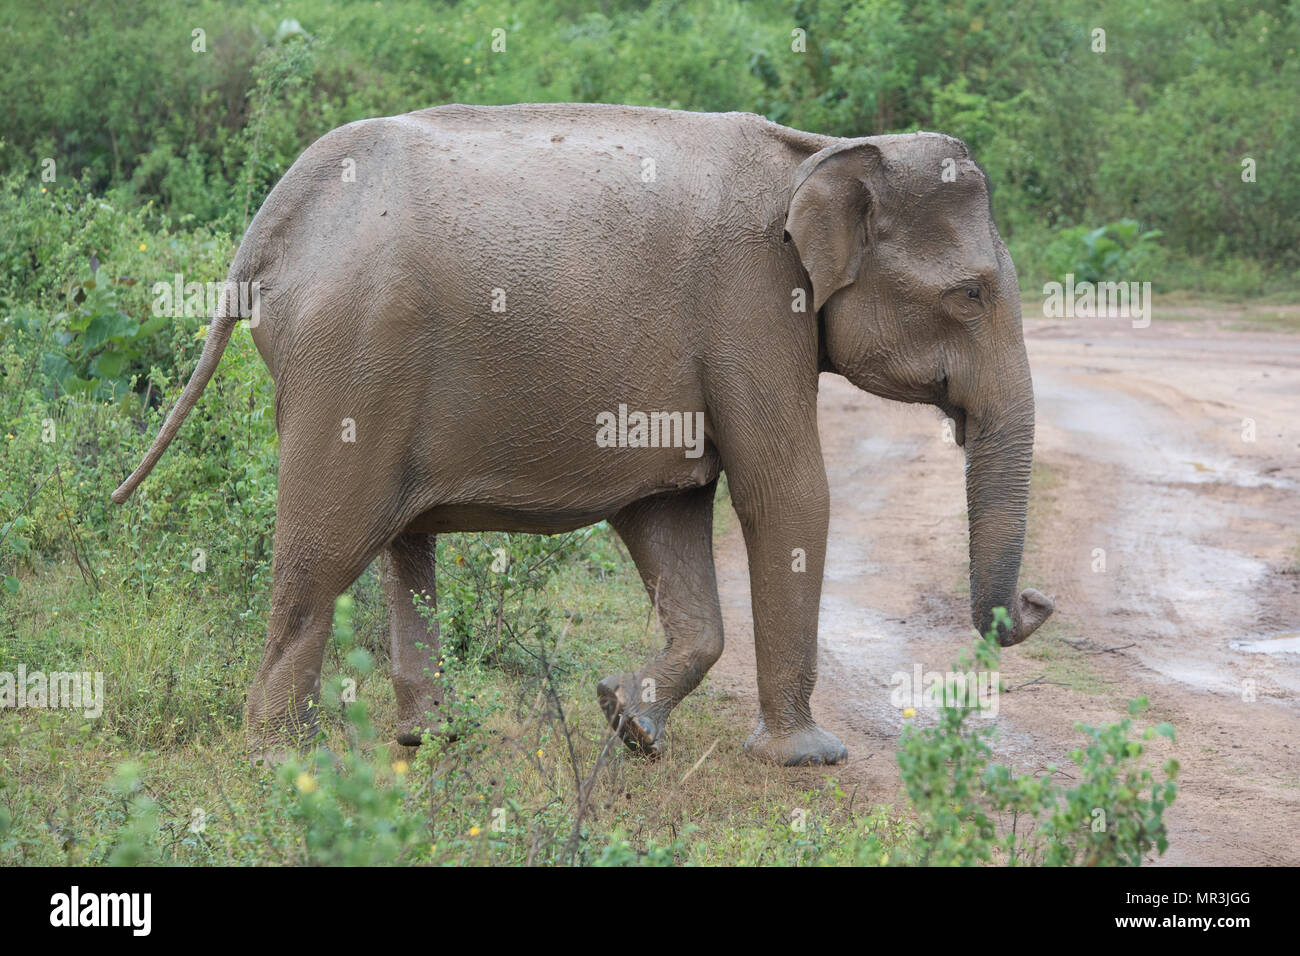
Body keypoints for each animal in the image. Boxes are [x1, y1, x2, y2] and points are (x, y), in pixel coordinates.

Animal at [112, 103, 1053, 766]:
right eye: (971, 295)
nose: (1039, 602)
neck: (822, 148)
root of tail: (272, 224)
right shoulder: (751, 305)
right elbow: (785, 493)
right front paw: (809, 759)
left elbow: (670, 508)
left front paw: (627, 722)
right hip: (351, 360)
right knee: (326, 551)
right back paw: (287, 758)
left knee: (400, 543)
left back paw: (431, 740)